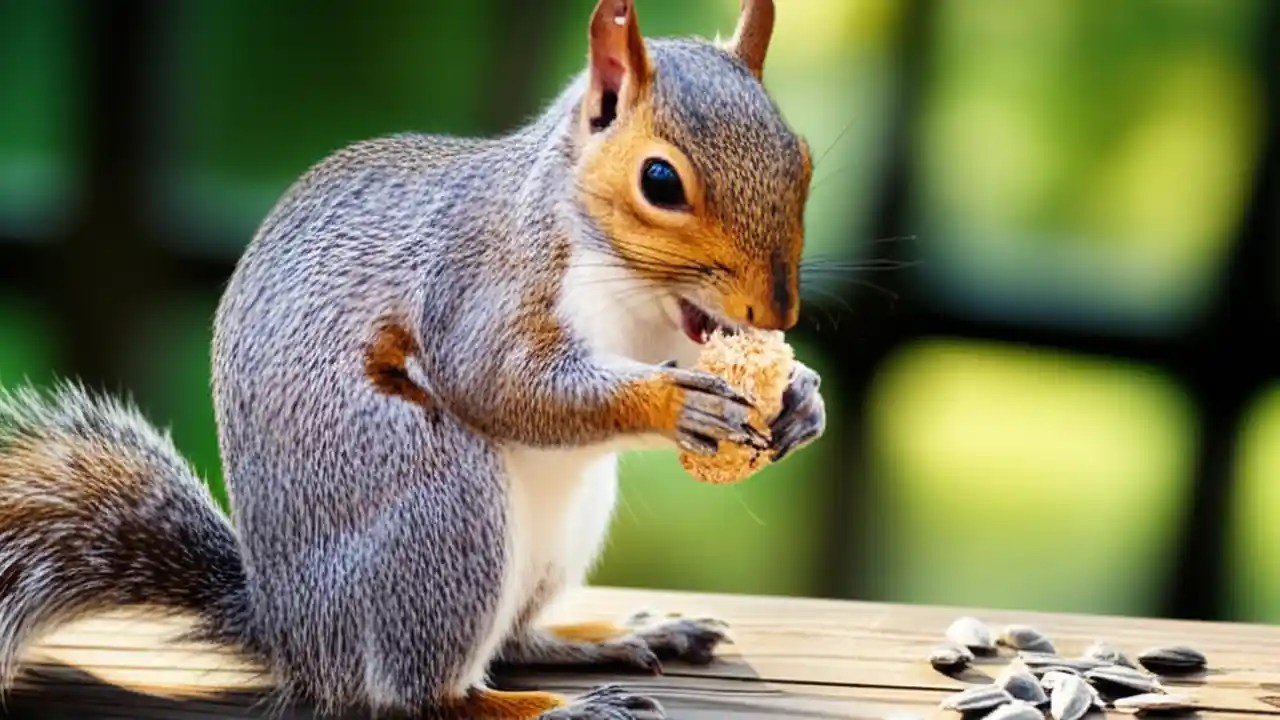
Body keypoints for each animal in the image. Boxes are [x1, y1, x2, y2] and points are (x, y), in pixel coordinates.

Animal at [0, 1, 826, 718]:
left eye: (804, 157)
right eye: (660, 181)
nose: (777, 311)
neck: (623, 281)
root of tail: (295, 643)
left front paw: (802, 396)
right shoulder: (481, 281)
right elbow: (501, 383)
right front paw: (678, 402)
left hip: (558, 533)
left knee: (513, 640)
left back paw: (619, 636)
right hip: (444, 517)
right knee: (422, 697)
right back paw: (555, 710)